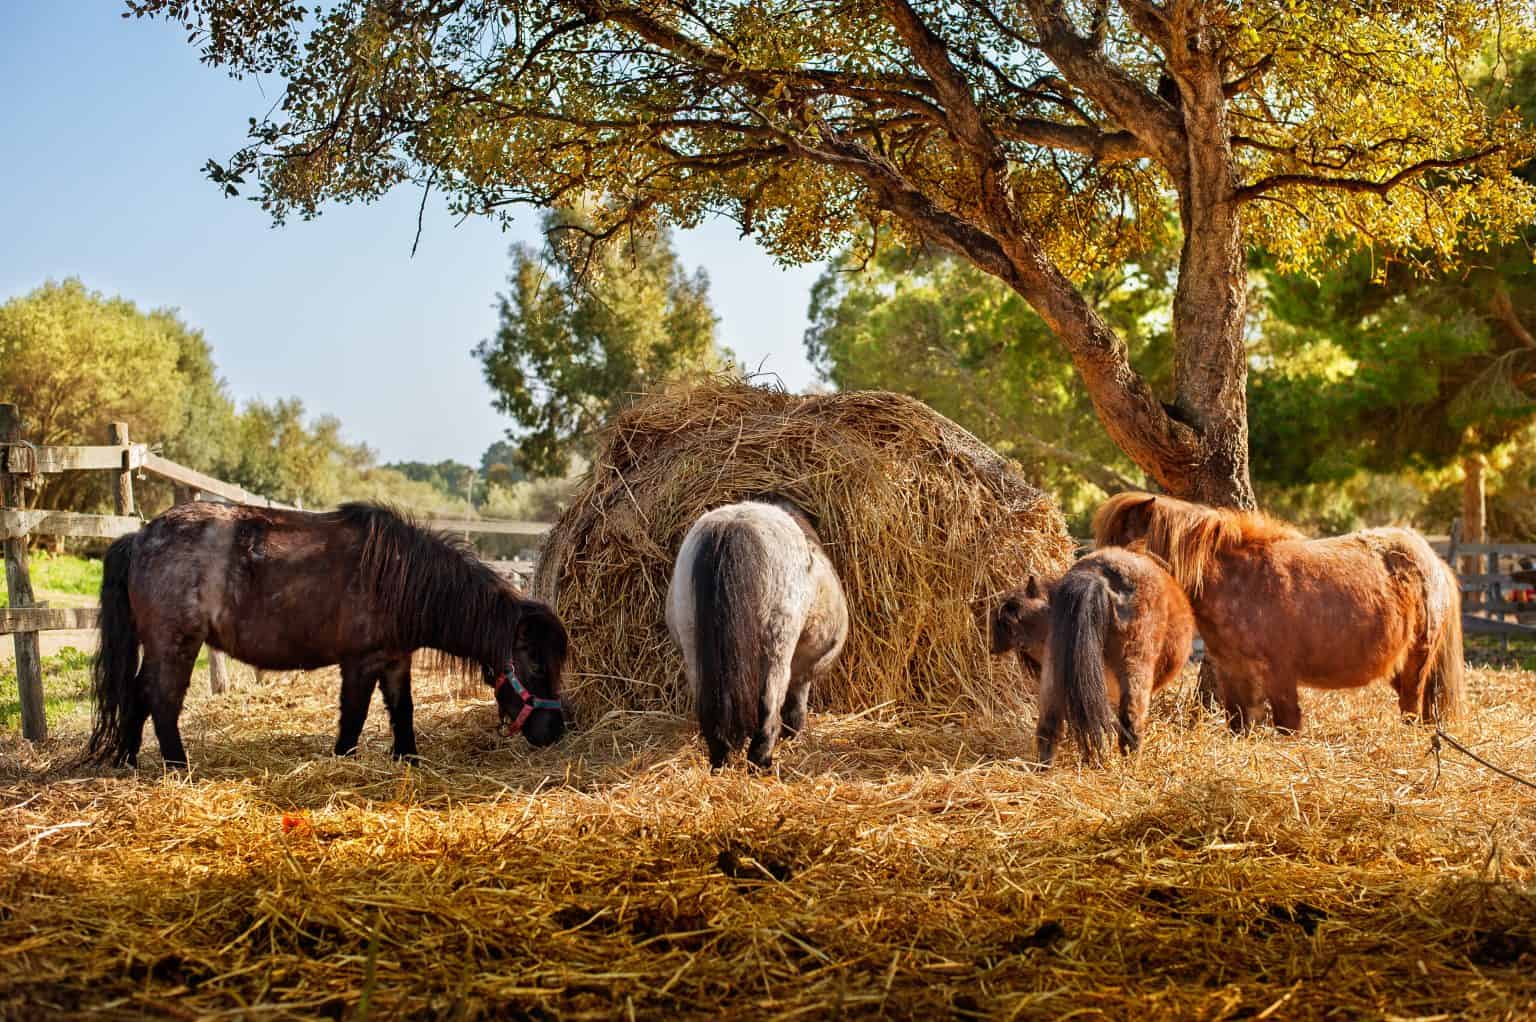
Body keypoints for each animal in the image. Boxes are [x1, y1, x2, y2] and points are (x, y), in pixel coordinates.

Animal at [85, 502, 568, 768]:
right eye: (535, 662)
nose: (555, 732)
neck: (400, 578)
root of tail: (138, 536)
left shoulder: (396, 660)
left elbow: (403, 711)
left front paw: (408, 760)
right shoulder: (361, 662)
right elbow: (353, 717)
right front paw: (343, 761)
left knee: (137, 695)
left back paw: (129, 760)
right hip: (176, 644)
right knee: (161, 700)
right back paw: (177, 767)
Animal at [666, 500, 848, 770]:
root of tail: (734, 525)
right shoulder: (801, 673)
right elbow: (795, 705)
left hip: (694, 648)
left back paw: (721, 761)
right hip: (776, 650)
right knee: (769, 706)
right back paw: (761, 761)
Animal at [992, 549, 1195, 766]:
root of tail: (1098, 575)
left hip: (1056, 671)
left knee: (1049, 722)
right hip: (1135, 666)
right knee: (1131, 721)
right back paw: (1130, 764)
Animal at [1093, 492, 1464, 734]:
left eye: (1122, 546)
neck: (1237, 581)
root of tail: (1432, 560)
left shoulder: (1280, 675)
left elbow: (1288, 725)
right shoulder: (1234, 675)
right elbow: (1238, 725)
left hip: (1418, 659)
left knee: (1412, 706)